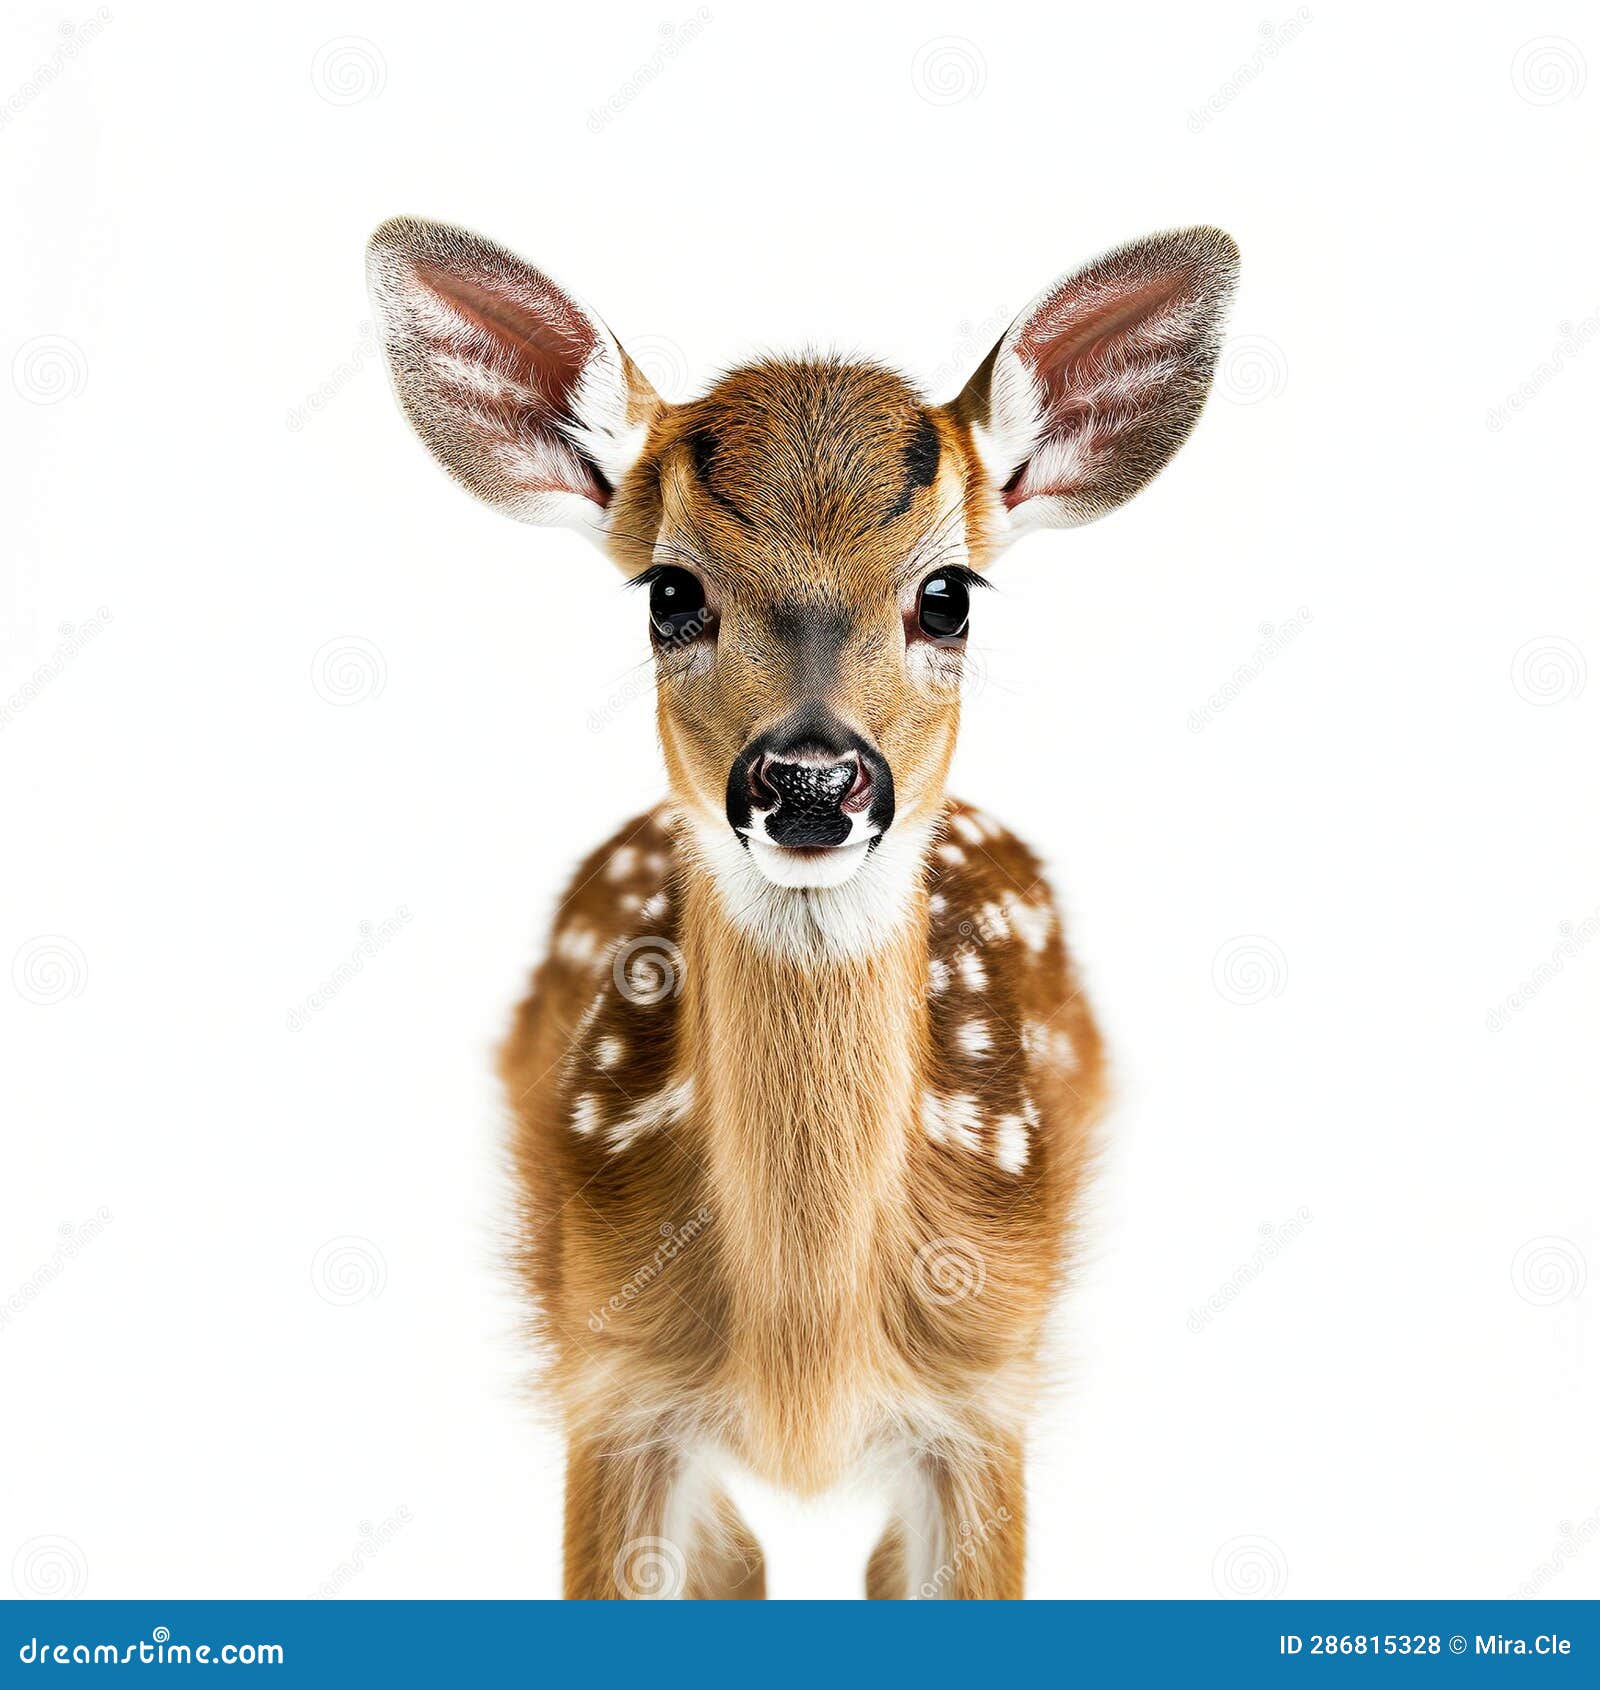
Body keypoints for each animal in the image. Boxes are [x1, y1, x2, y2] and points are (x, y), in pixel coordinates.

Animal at [366, 218, 1237, 1599]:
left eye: (948, 594)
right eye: (669, 593)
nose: (813, 781)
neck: (805, 1344)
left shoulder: (983, 1391)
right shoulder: (610, 1381)